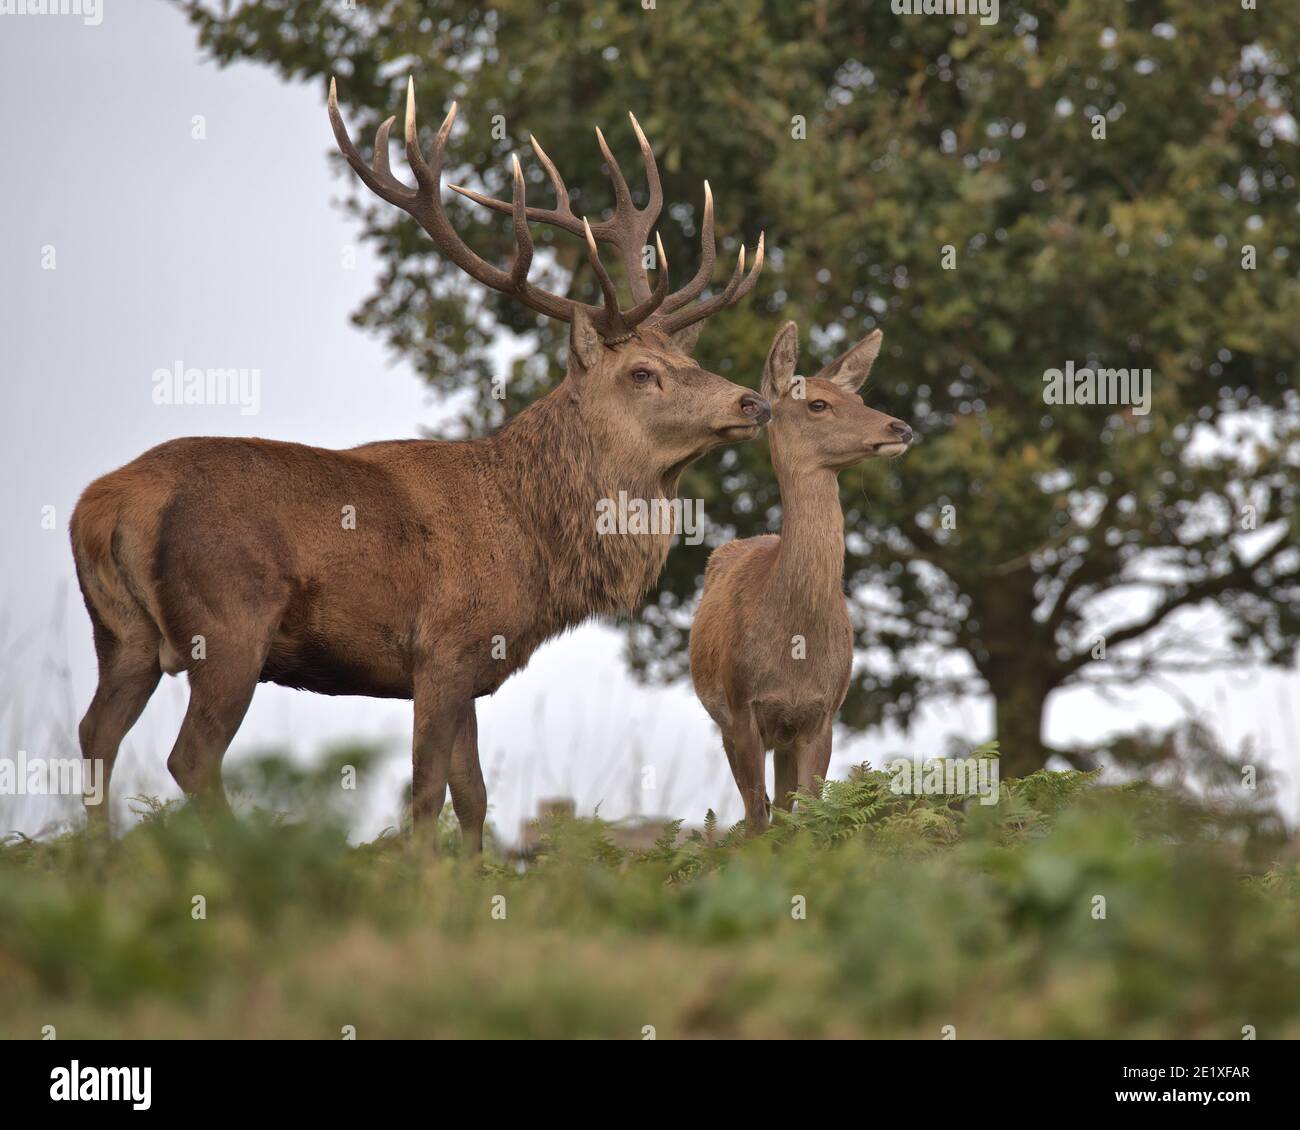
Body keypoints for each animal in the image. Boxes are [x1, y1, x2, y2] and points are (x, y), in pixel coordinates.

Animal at [70, 78, 771, 853]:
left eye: (686, 360)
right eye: (644, 373)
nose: (754, 400)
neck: (533, 544)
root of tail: (104, 506)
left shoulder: (470, 667)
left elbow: (474, 796)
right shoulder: (442, 649)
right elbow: (429, 793)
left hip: (121, 634)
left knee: (95, 735)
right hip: (226, 624)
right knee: (189, 756)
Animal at [688, 321, 912, 835]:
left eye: (861, 397)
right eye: (818, 403)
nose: (902, 427)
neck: (795, 648)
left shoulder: (822, 714)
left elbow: (807, 818)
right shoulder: (742, 707)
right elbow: (757, 820)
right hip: (726, 721)